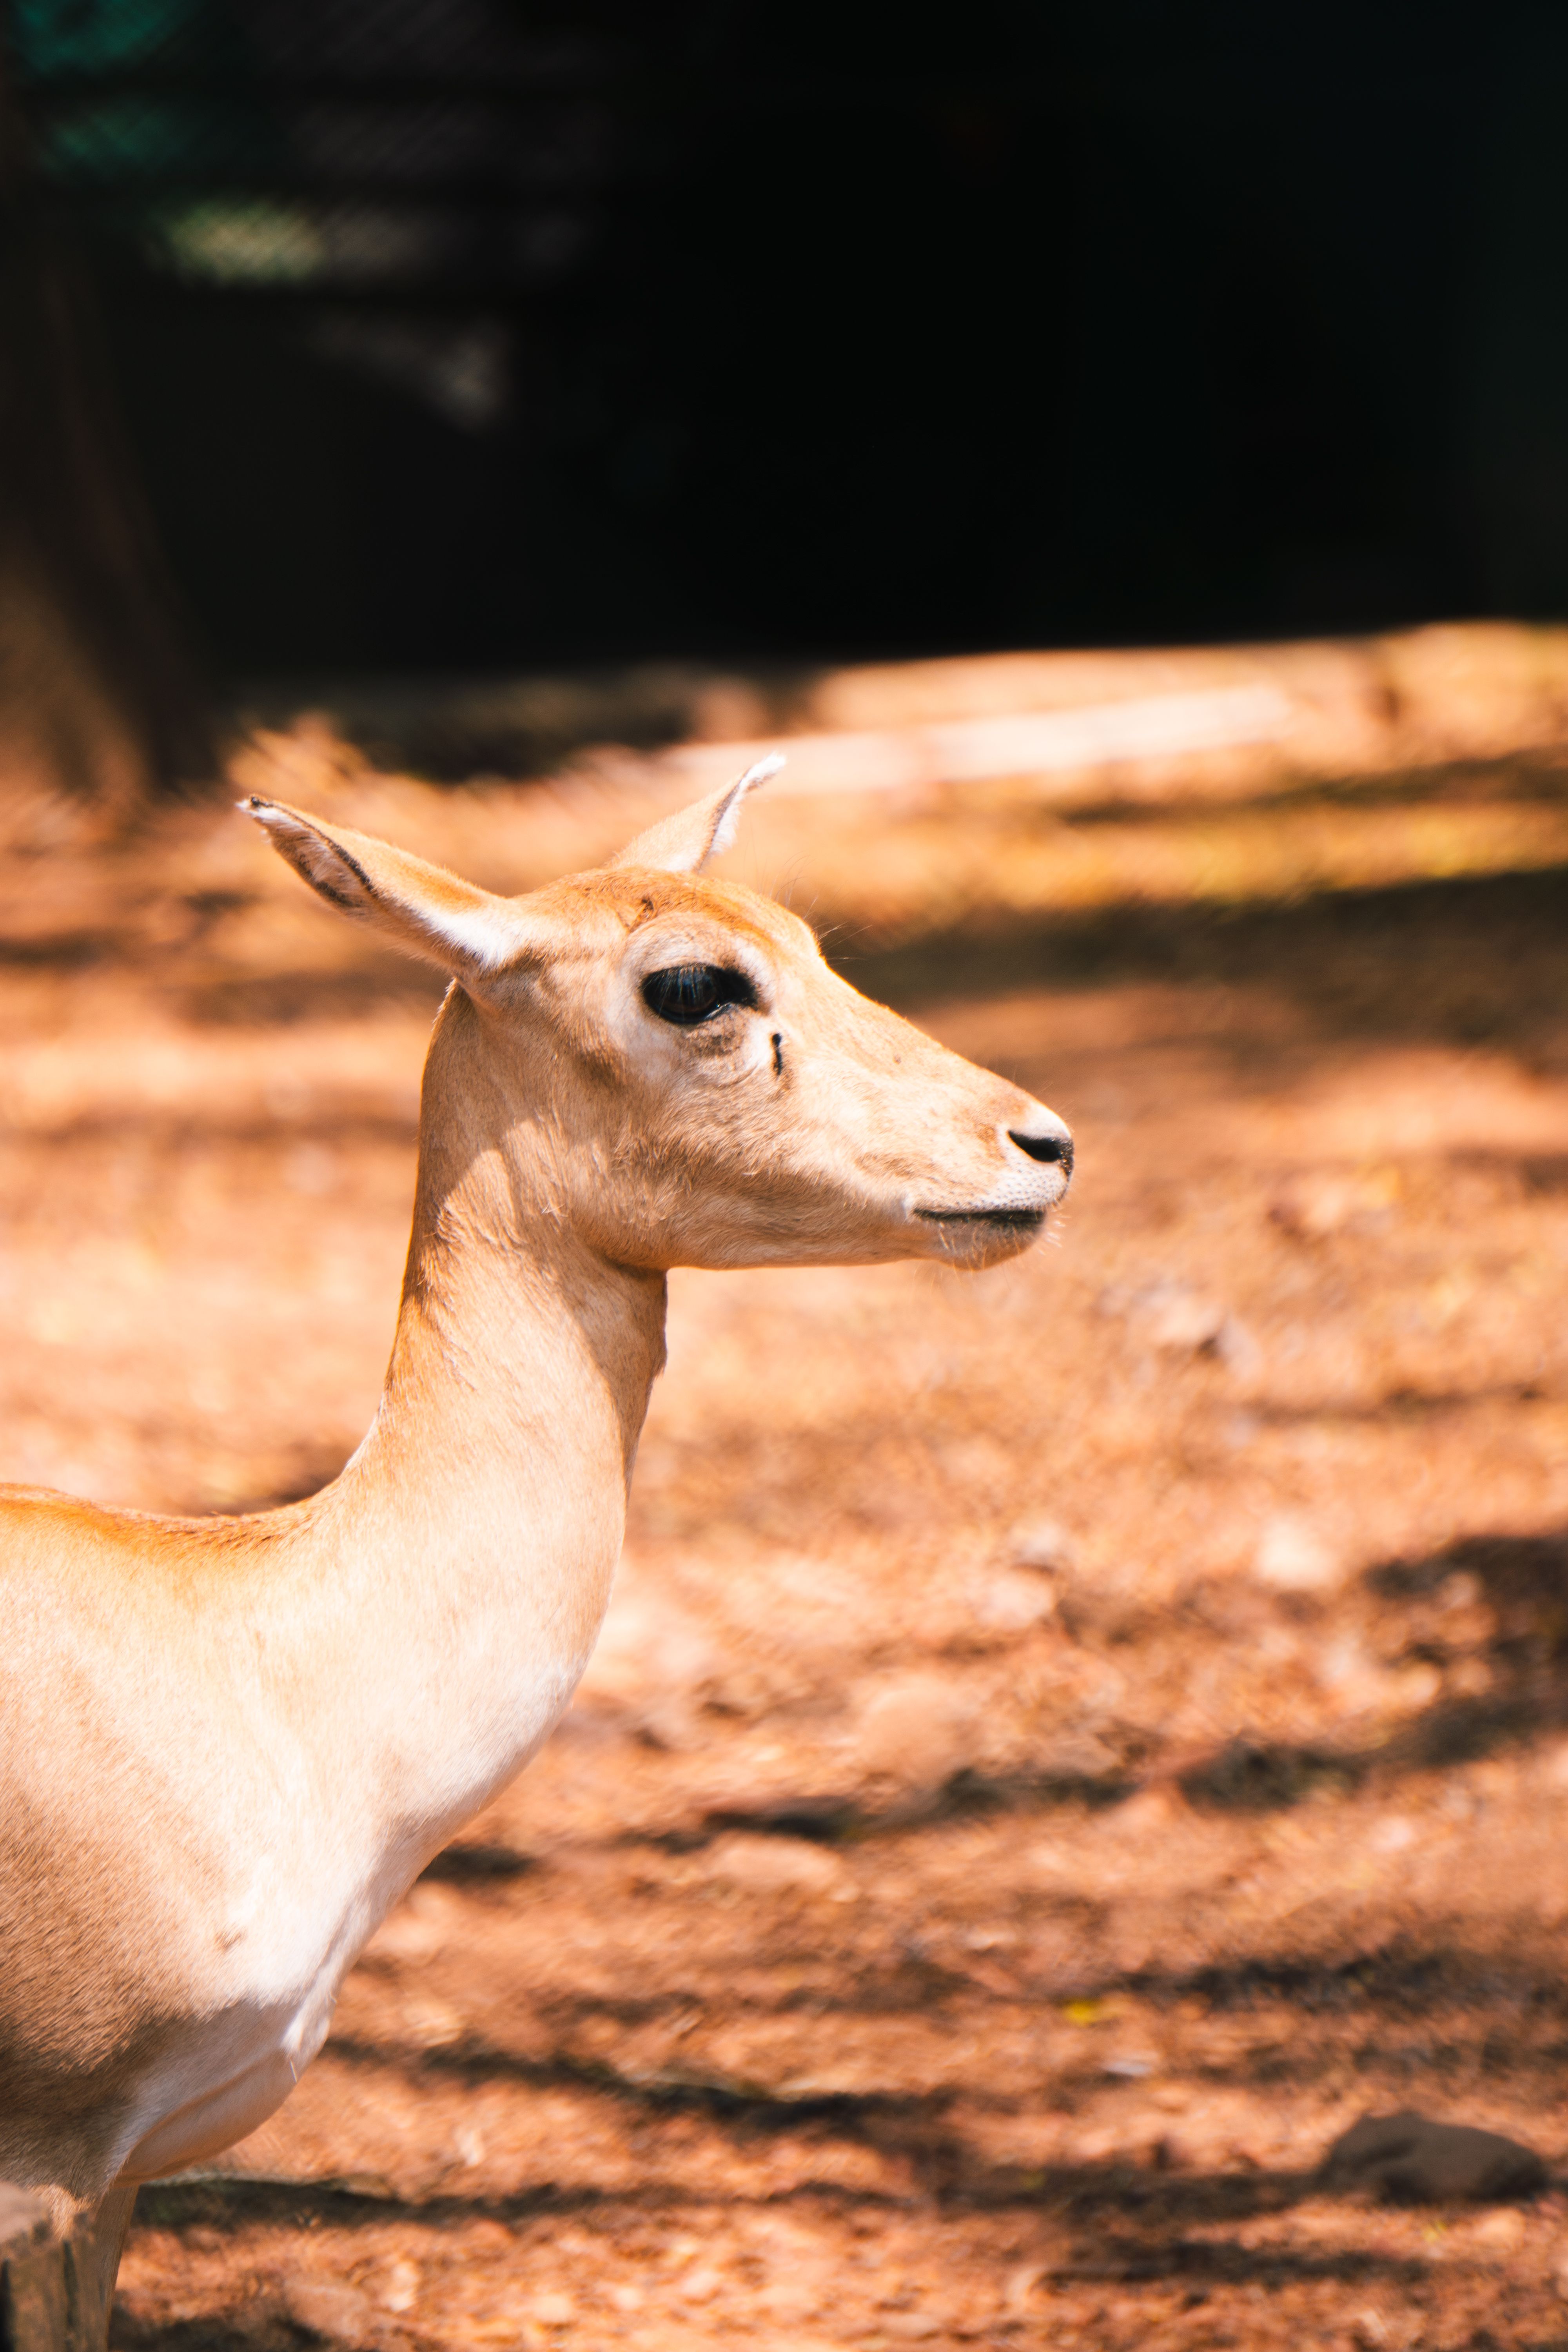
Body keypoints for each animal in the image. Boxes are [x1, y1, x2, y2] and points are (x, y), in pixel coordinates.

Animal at [0, 762, 1072, 2339]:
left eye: (808, 936)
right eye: (690, 981)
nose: (1038, 1145)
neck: (257, 1657)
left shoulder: (116, 2181)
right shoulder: (46, 2163)